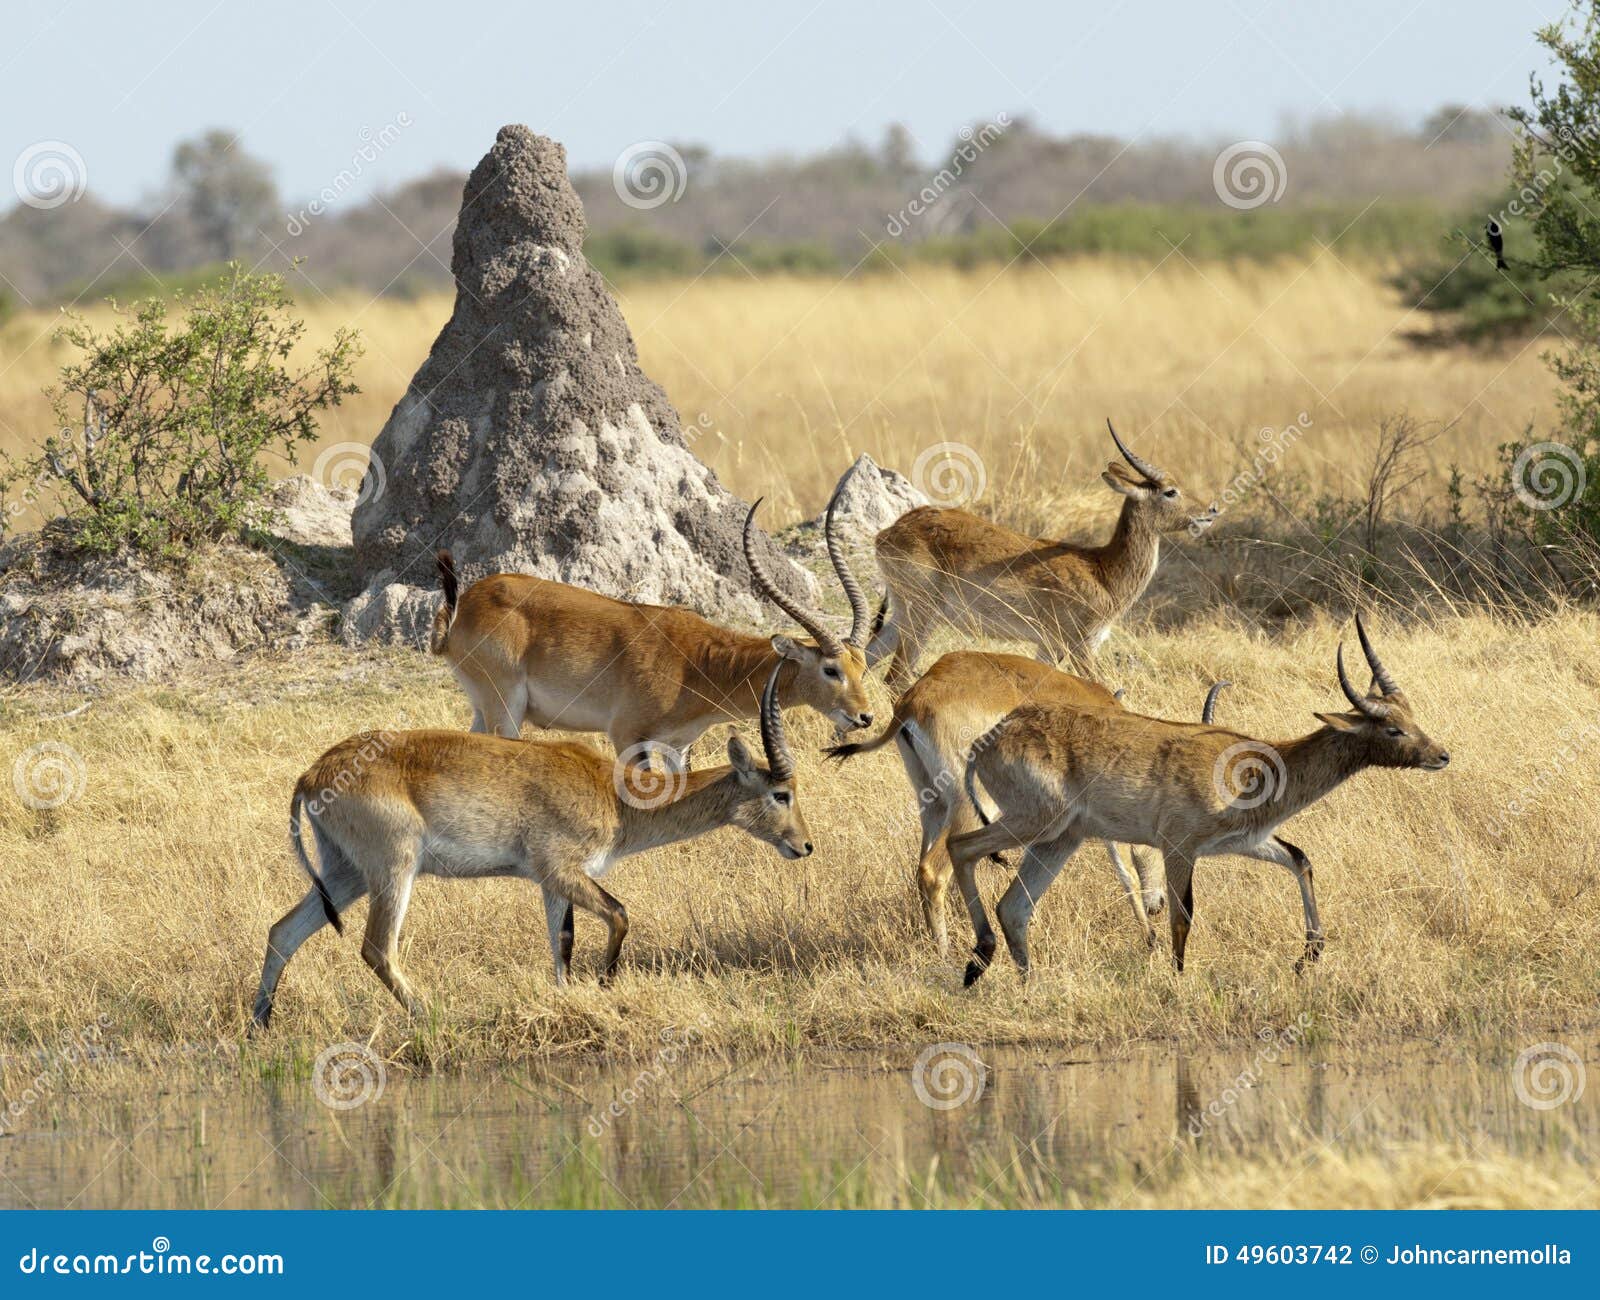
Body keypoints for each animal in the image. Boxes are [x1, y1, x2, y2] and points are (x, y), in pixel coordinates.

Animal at [252, 665, 809, 1026]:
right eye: (781, 793)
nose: (804, 846)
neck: (611, 792)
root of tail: (313, 774)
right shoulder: (561, 868)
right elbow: (619, 914)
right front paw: (607, 991)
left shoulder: (550, 882)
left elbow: (561, 945)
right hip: (393, 869)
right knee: (376, 947)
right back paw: (434, 1017)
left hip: (345, 874)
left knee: (283, 931)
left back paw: (261, 1025)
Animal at [430, 493, 875, 769]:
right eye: (831, 669)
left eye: (862, 667)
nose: (865, 716)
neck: (699, 664)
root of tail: (464, 606)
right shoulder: (627, 736)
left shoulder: (678, 745)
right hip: (506, 710)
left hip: (482, 709)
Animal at [825, 654, 1229, 956]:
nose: (1158, 903)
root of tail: (914, 700)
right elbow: (1125, 867)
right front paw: (1149, 940)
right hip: (971, 806)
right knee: (933, 871)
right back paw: (947, 954)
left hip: (933, 804)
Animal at [871, 421, 1217, 690]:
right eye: (1170, 491)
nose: (1211, 509)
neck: (1103, 570)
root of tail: (888, 532)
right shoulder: (1079, 646)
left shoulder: (1048, 647)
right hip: (922, 617)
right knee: (894, 679)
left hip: (902, 616)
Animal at [949, 616, 1447, 984]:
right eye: (1392, 728)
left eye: (1413, 715)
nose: (1441, 755)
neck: (1254, 767)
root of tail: (990, 737)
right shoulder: (1178, 845)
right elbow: (1182, 914)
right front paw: (1179, 981)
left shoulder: (1246, 841)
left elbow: (1301, 859)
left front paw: (1308, 958)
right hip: (1032, 823)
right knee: (960, 848)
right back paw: (977, 962)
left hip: (1059, 840)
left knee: (1014, 906)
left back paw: (1024, 982)